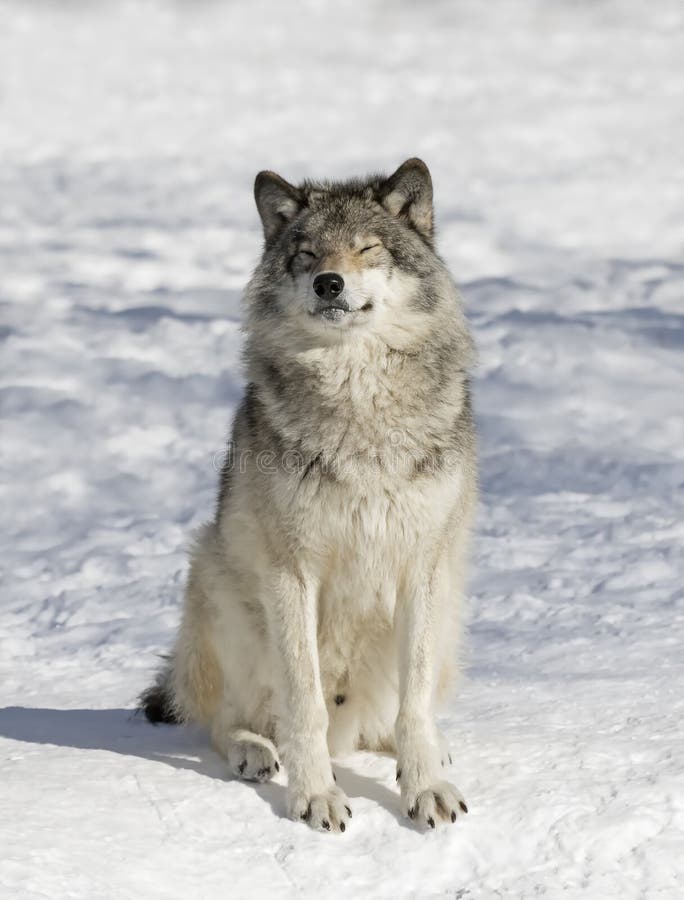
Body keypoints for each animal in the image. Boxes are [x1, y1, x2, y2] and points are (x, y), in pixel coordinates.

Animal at [140, 158, 477, 833]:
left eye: (368, 249)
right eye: (306, 253)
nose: (329, 283)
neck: (358, 399)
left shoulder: (424, 566)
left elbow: (414, 704)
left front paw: (426, 787)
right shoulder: (291, 572)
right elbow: (304, 704)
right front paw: (316, 796)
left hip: (449, 608)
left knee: (394, 716)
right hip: (218, 581)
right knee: (224, 719)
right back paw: (253, 751)